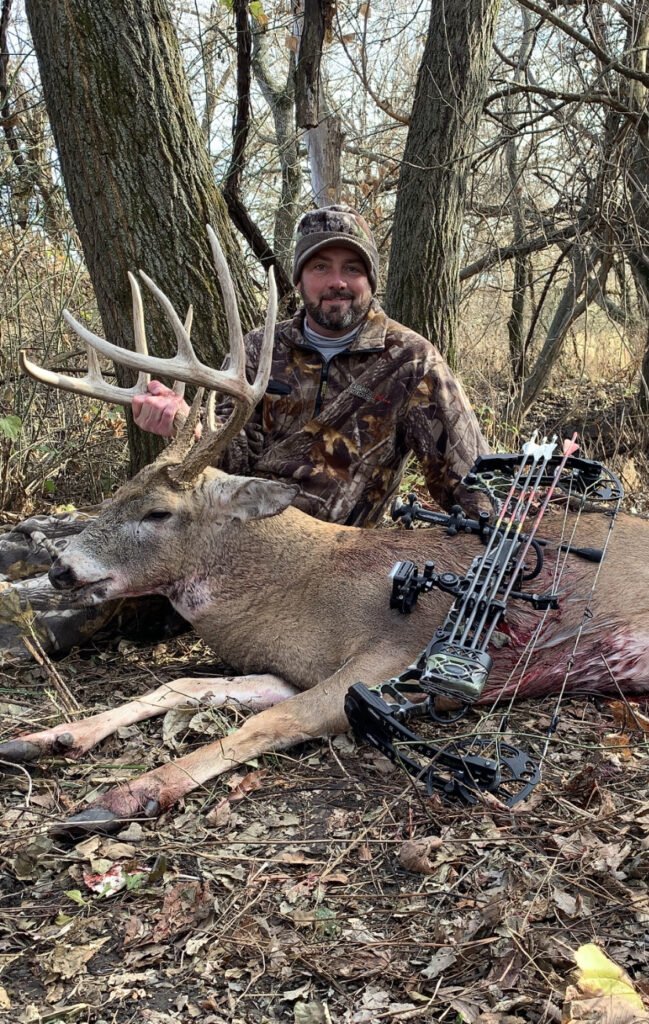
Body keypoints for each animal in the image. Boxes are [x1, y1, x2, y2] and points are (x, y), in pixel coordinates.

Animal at [4, 226, 649, 834]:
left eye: (158, 512)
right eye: (120, 492)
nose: (61, 568)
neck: (299, 590)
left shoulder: (392, 657)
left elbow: (268, 721)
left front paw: (119, 798)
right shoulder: (291, 670)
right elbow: (179, 686)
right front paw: (45, 738)